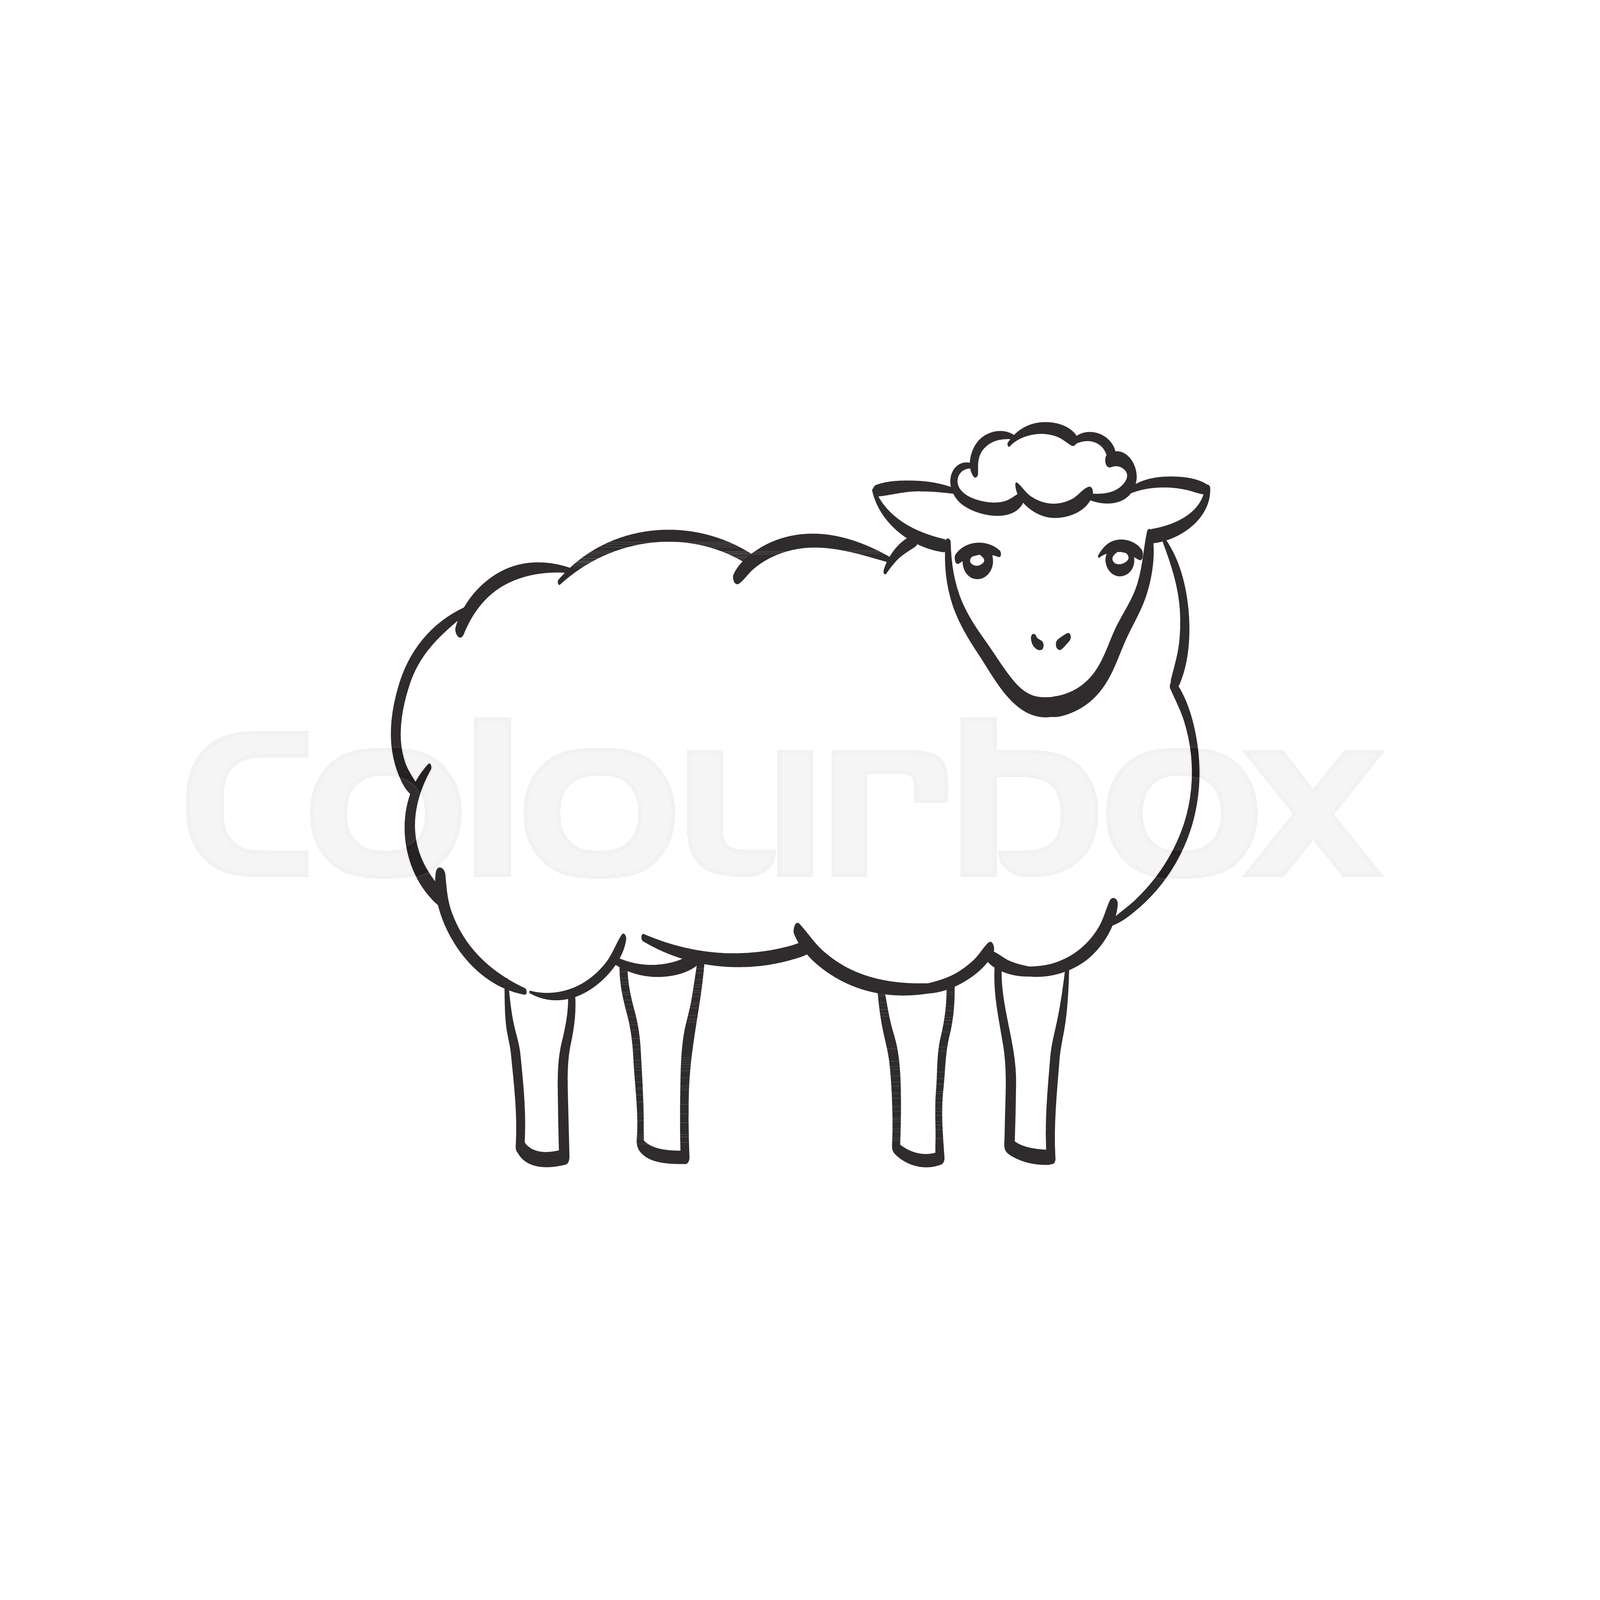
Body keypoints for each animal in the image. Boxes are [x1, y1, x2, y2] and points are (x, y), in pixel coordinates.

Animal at [392, 423, 1209, 1166]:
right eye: (976, 558)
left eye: (1121, 554)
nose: (1051, 647)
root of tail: (460, 639)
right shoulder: (907, 924)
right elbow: (921, 1034)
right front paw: (920, 1150)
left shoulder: (1046, 927)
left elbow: (1037, 1033)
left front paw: (1031, 1146)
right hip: (534, 910)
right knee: (539, 1019)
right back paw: (544, 1146)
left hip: (651, 919)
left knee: (657, 1009)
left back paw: (663, 1142)